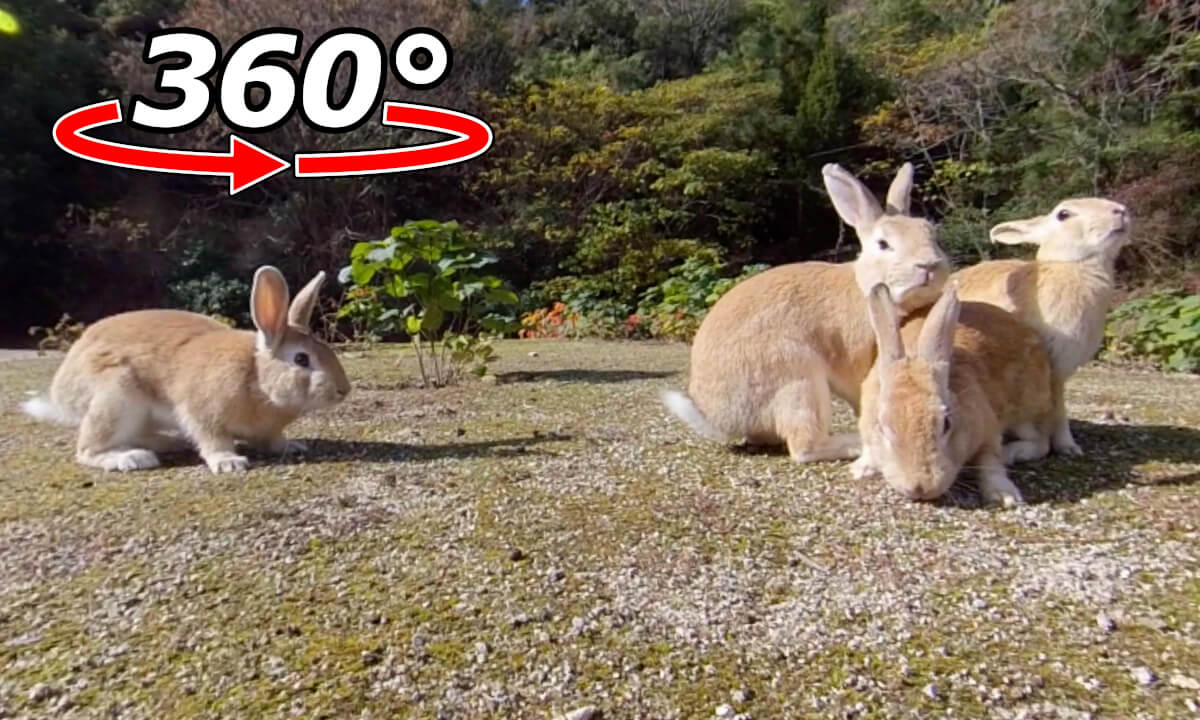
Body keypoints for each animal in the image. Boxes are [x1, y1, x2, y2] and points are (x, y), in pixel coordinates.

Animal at [20, 266, 351, 474]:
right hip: (116, 396)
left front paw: (292, 446)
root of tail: (61, 391)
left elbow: (272, 440)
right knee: (87, 449)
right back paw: (131, 458)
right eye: (301, 360)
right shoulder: (202, 411)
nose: (343, 390)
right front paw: (229, 462)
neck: (257, 379)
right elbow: (211, 438)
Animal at [662, 162, 951, 462]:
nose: (929, 265)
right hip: (798, 379)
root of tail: (715, 417)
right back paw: (854, 444)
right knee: (804, 447)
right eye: (883, 244)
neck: (863, 283)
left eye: (932, 234)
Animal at [851, 281, 1057, 506]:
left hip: (1027, 411)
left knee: (1042, 442)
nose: (920, 488)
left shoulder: (989, 431)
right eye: (883, 427)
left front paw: (1005, 495)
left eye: (946, 423)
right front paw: (860, 469)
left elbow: (990, 461)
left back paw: (1010, 453)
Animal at [952, 198, 1132, 457]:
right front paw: (1064, 445)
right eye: (1063, 214)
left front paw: (1069, 446)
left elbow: (1059, 406)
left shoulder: (1059, 371)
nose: (1121, 211)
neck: (1072, 266)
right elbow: (1057, 408)